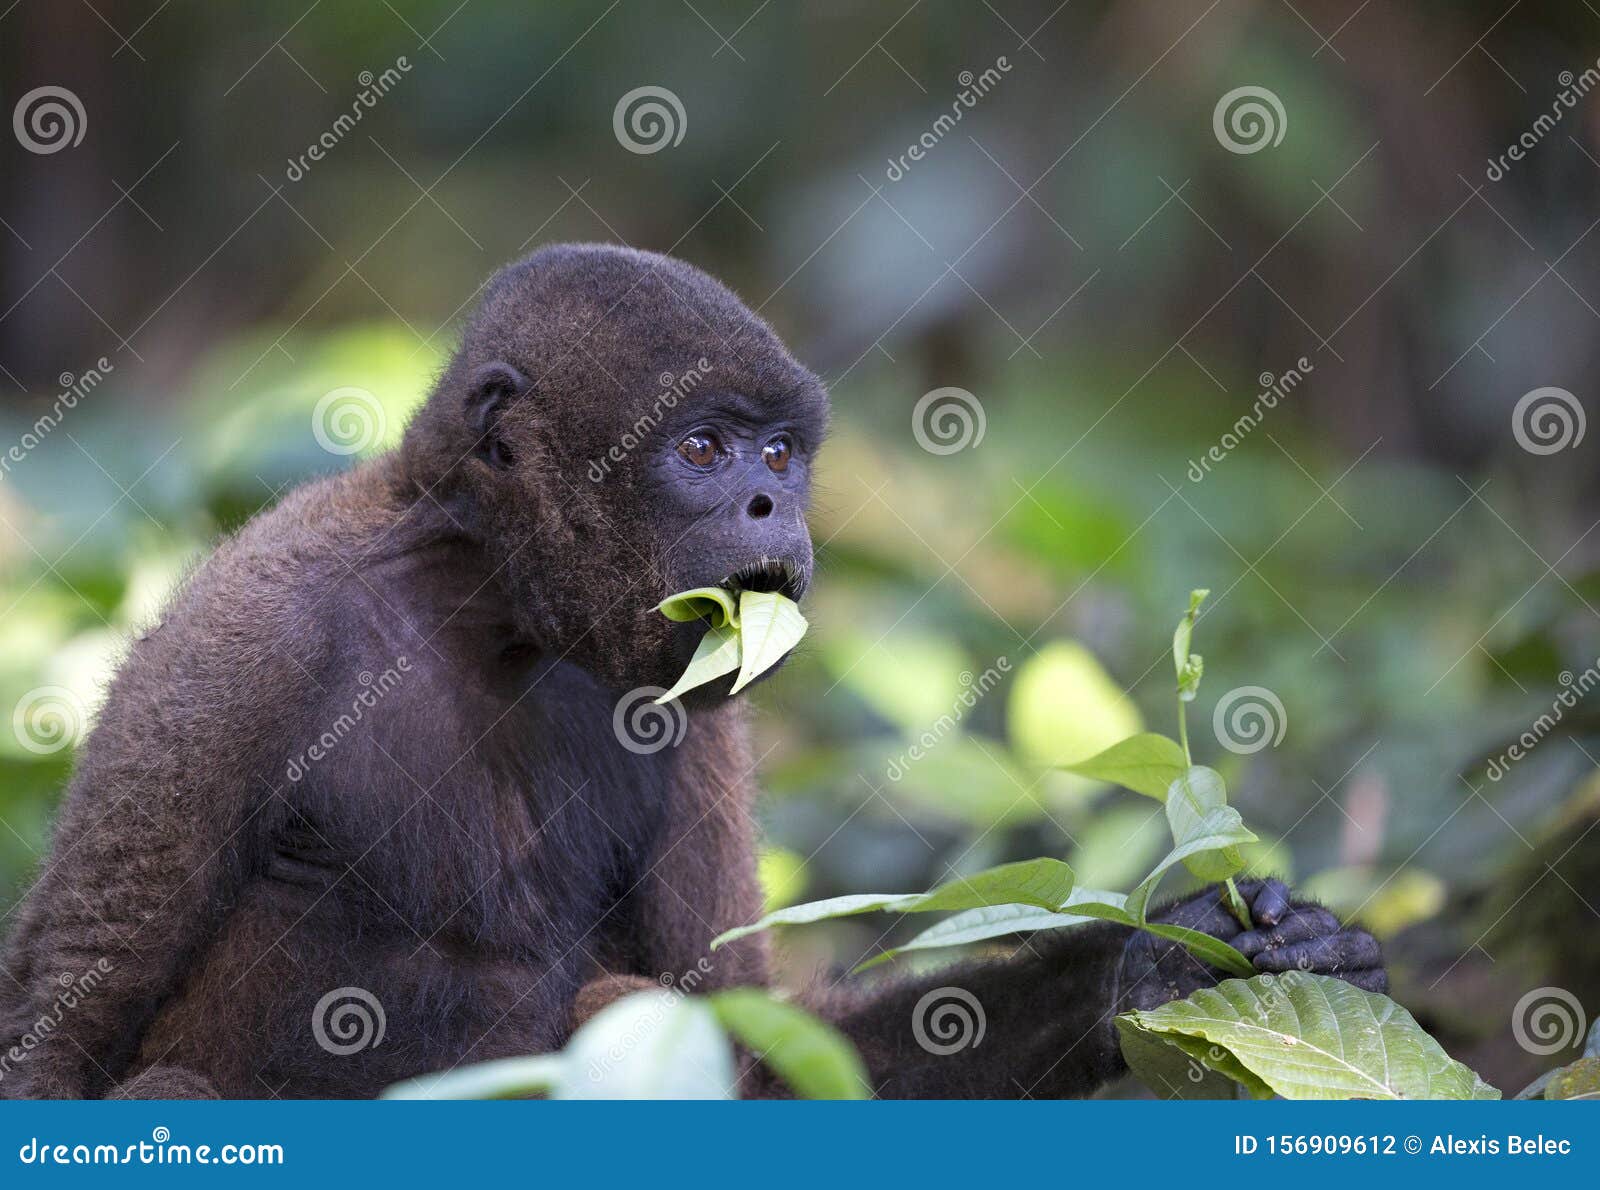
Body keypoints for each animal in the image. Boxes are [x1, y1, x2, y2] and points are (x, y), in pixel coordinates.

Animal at [0, 244, 1385, 1099]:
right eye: (705, 449)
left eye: (778, 452)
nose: (775, 504)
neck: (491, 602)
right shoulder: (249, 634)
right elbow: (64, 1004)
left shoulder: (698, 710)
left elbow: (744, 1021)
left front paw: (1157, 969)